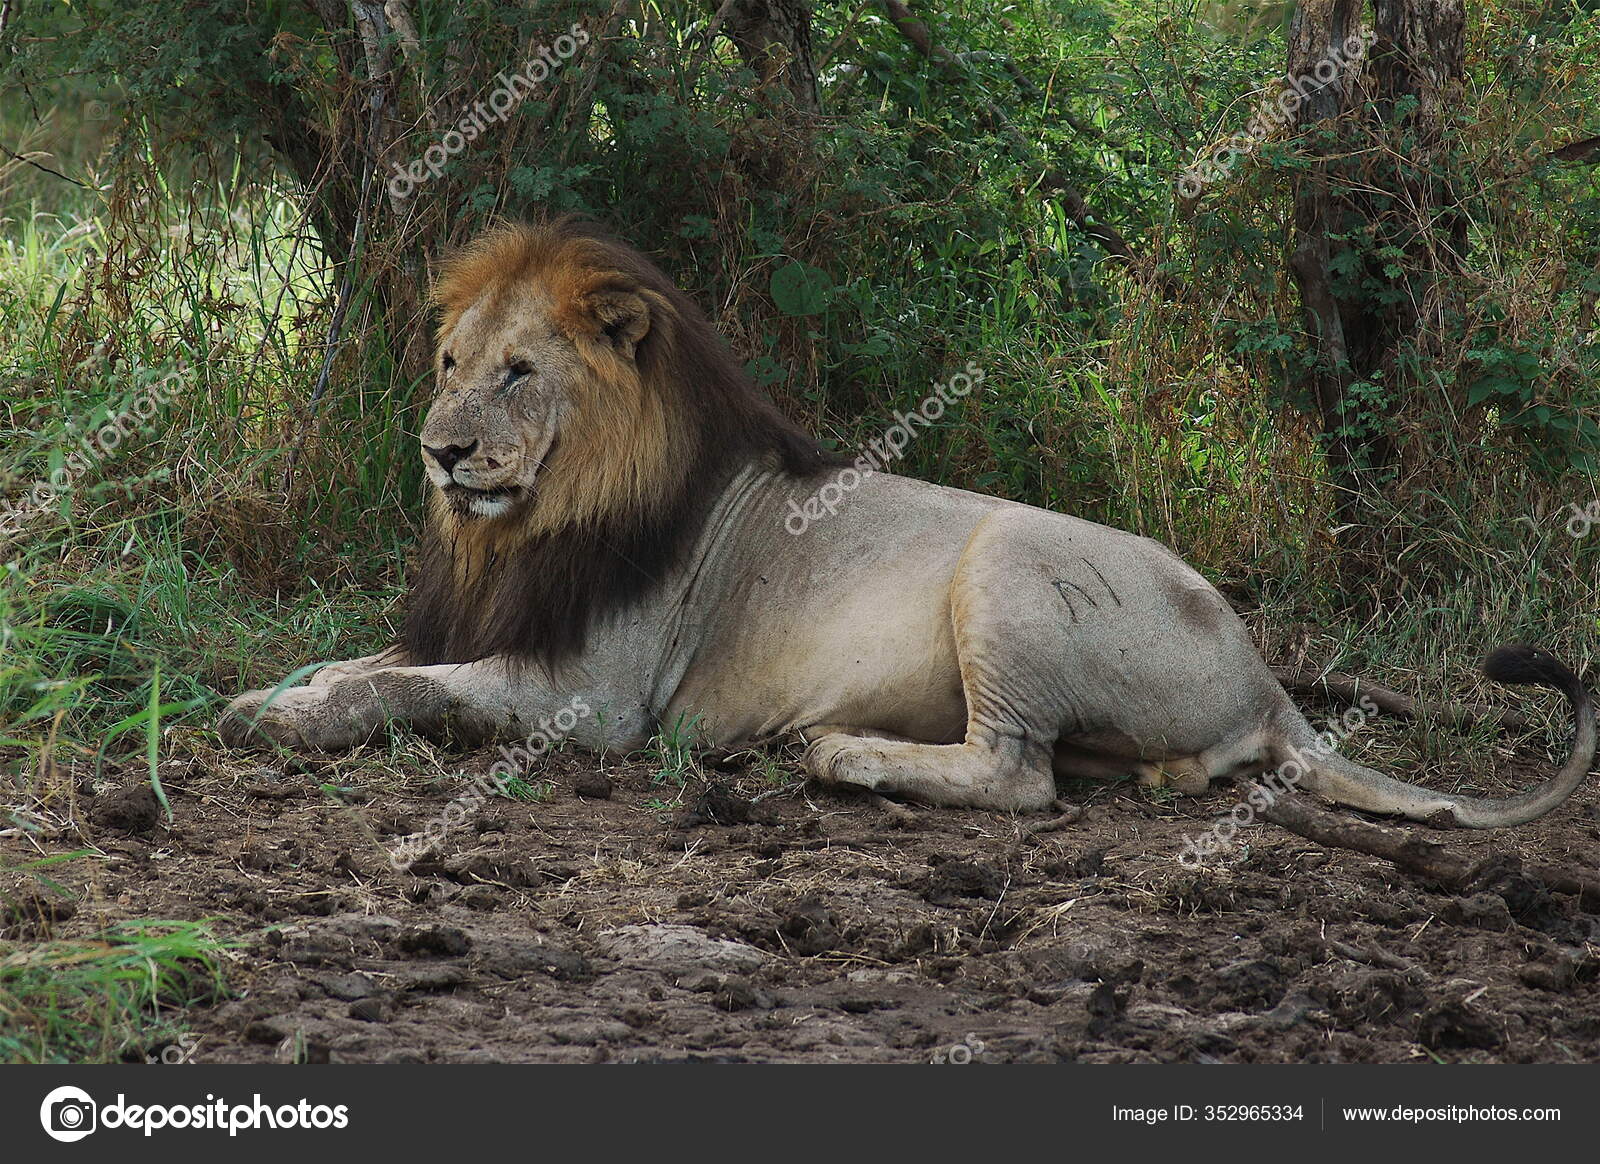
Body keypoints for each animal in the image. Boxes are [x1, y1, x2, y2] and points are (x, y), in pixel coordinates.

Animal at [221, 217, 1596, 827]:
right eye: (450, 362)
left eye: (517, 374)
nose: (439, 451)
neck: (517, 527)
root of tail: (1268, 679)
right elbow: (360, 662)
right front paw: (267, 693)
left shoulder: (594, 702)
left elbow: (402, 689)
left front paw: (281, 719)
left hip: (1010, 559)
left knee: (1019, 777)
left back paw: (843, 755)